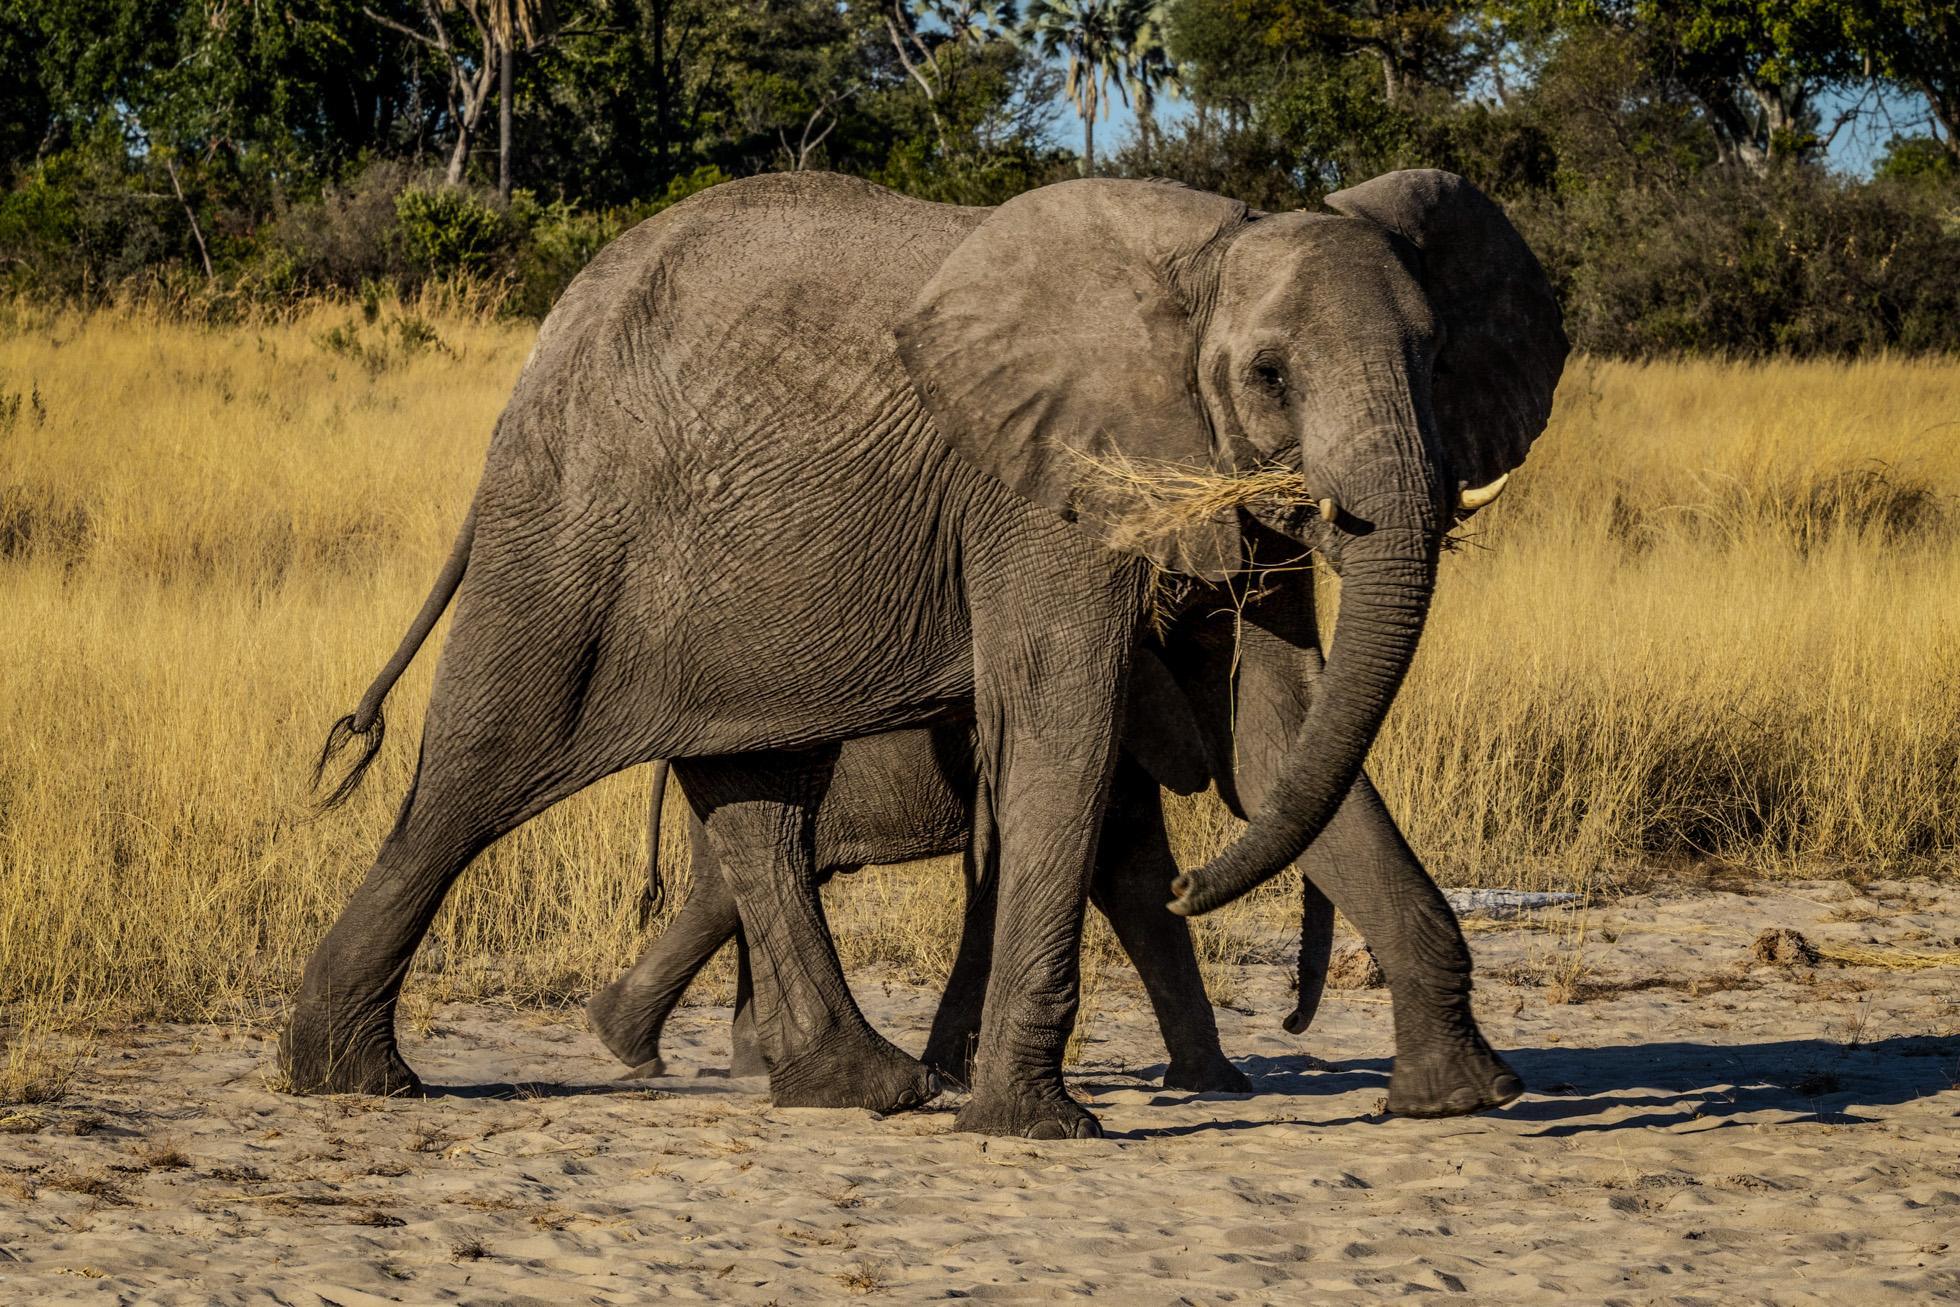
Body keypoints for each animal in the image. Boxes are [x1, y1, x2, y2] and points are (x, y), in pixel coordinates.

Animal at [283, 167, 1565, 1139]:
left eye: (1437, 357)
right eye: (1268, 374)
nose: (1209, 885)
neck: (1195, 268)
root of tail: (548, 341)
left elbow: (1281, 724)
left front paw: (1464, 1099)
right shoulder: (1037, 490)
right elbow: (1068, 717)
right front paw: (1036, 1125)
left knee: (756, 794)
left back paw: (864, 1086)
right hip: (570, 532)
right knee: (476, 774)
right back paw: (348, 1075)